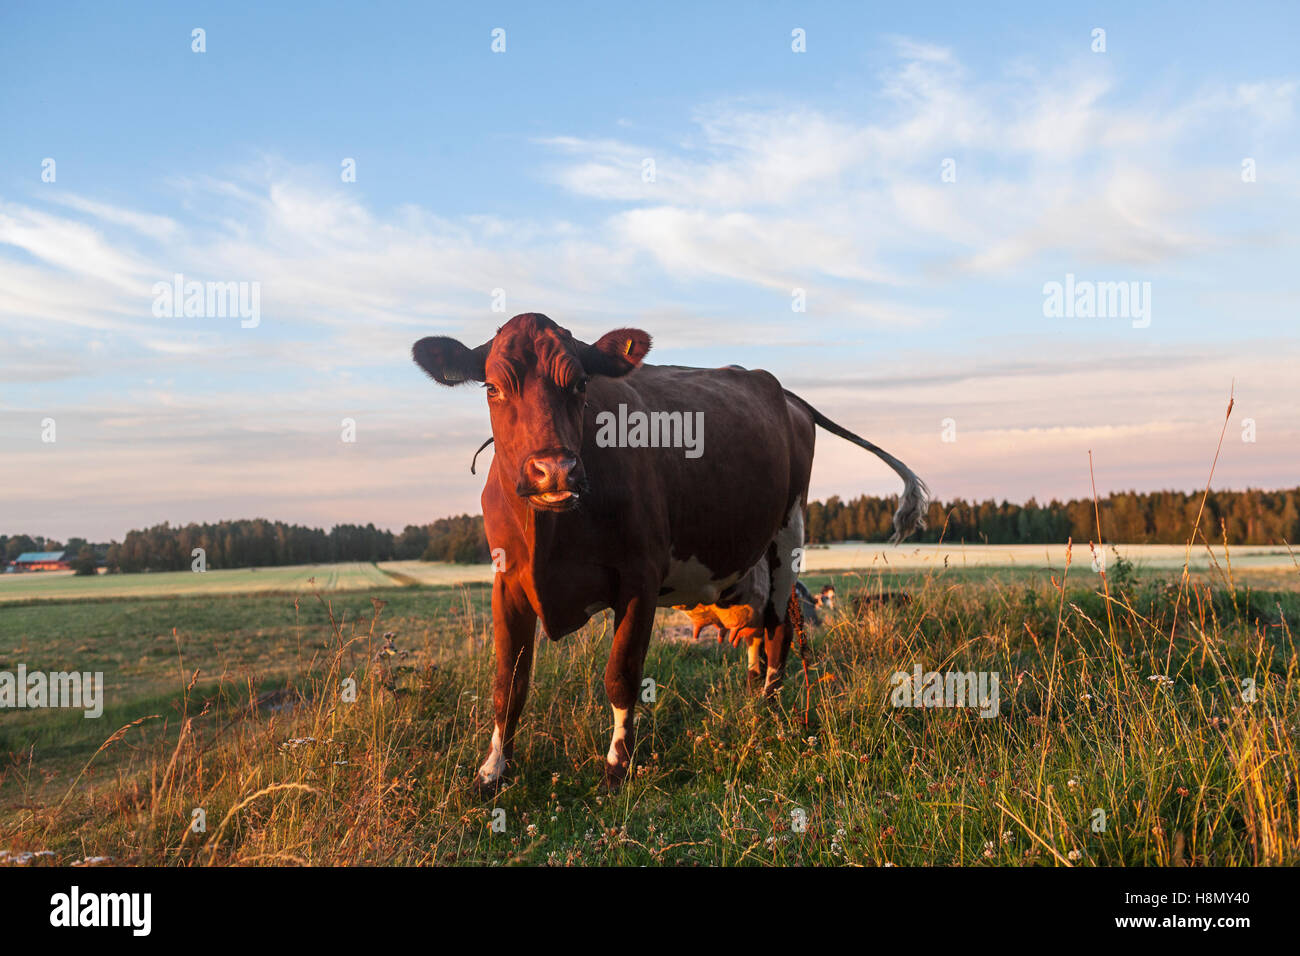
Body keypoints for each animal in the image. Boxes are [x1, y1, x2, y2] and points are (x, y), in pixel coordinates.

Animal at [412, 313, 927, 791]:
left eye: (580, 383)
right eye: (493, 387)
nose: (553, 470)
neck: (551, 533)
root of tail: (785, 394)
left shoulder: (640, 576)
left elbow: (620, 674)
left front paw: (617, 766)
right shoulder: (508, 582)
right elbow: (508, 682)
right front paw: (493, 769)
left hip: (790, 530)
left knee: (779, 629)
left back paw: (767, 709)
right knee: (757, 631)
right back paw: (750, 691)